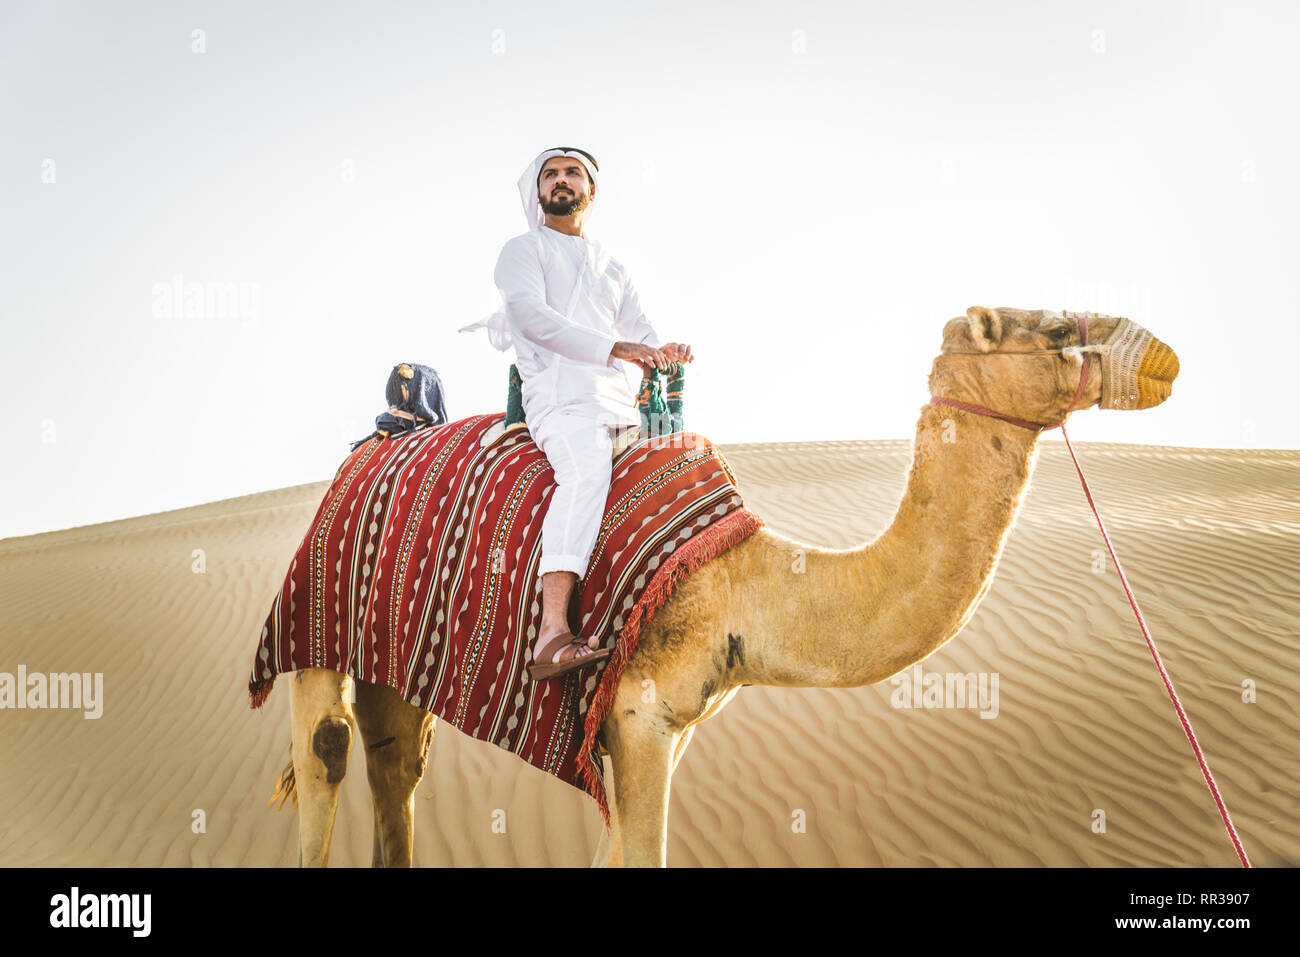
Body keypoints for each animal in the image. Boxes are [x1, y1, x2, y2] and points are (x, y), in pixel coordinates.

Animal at [275, 306, 1179, 867]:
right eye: (1056, 327)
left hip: (397, 659)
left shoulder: (663, 726)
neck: (749, 581)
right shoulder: (636, 712)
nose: (1164, 357)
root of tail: (377, 442)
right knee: (328, 747)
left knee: (397, 759)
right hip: (315, 614)